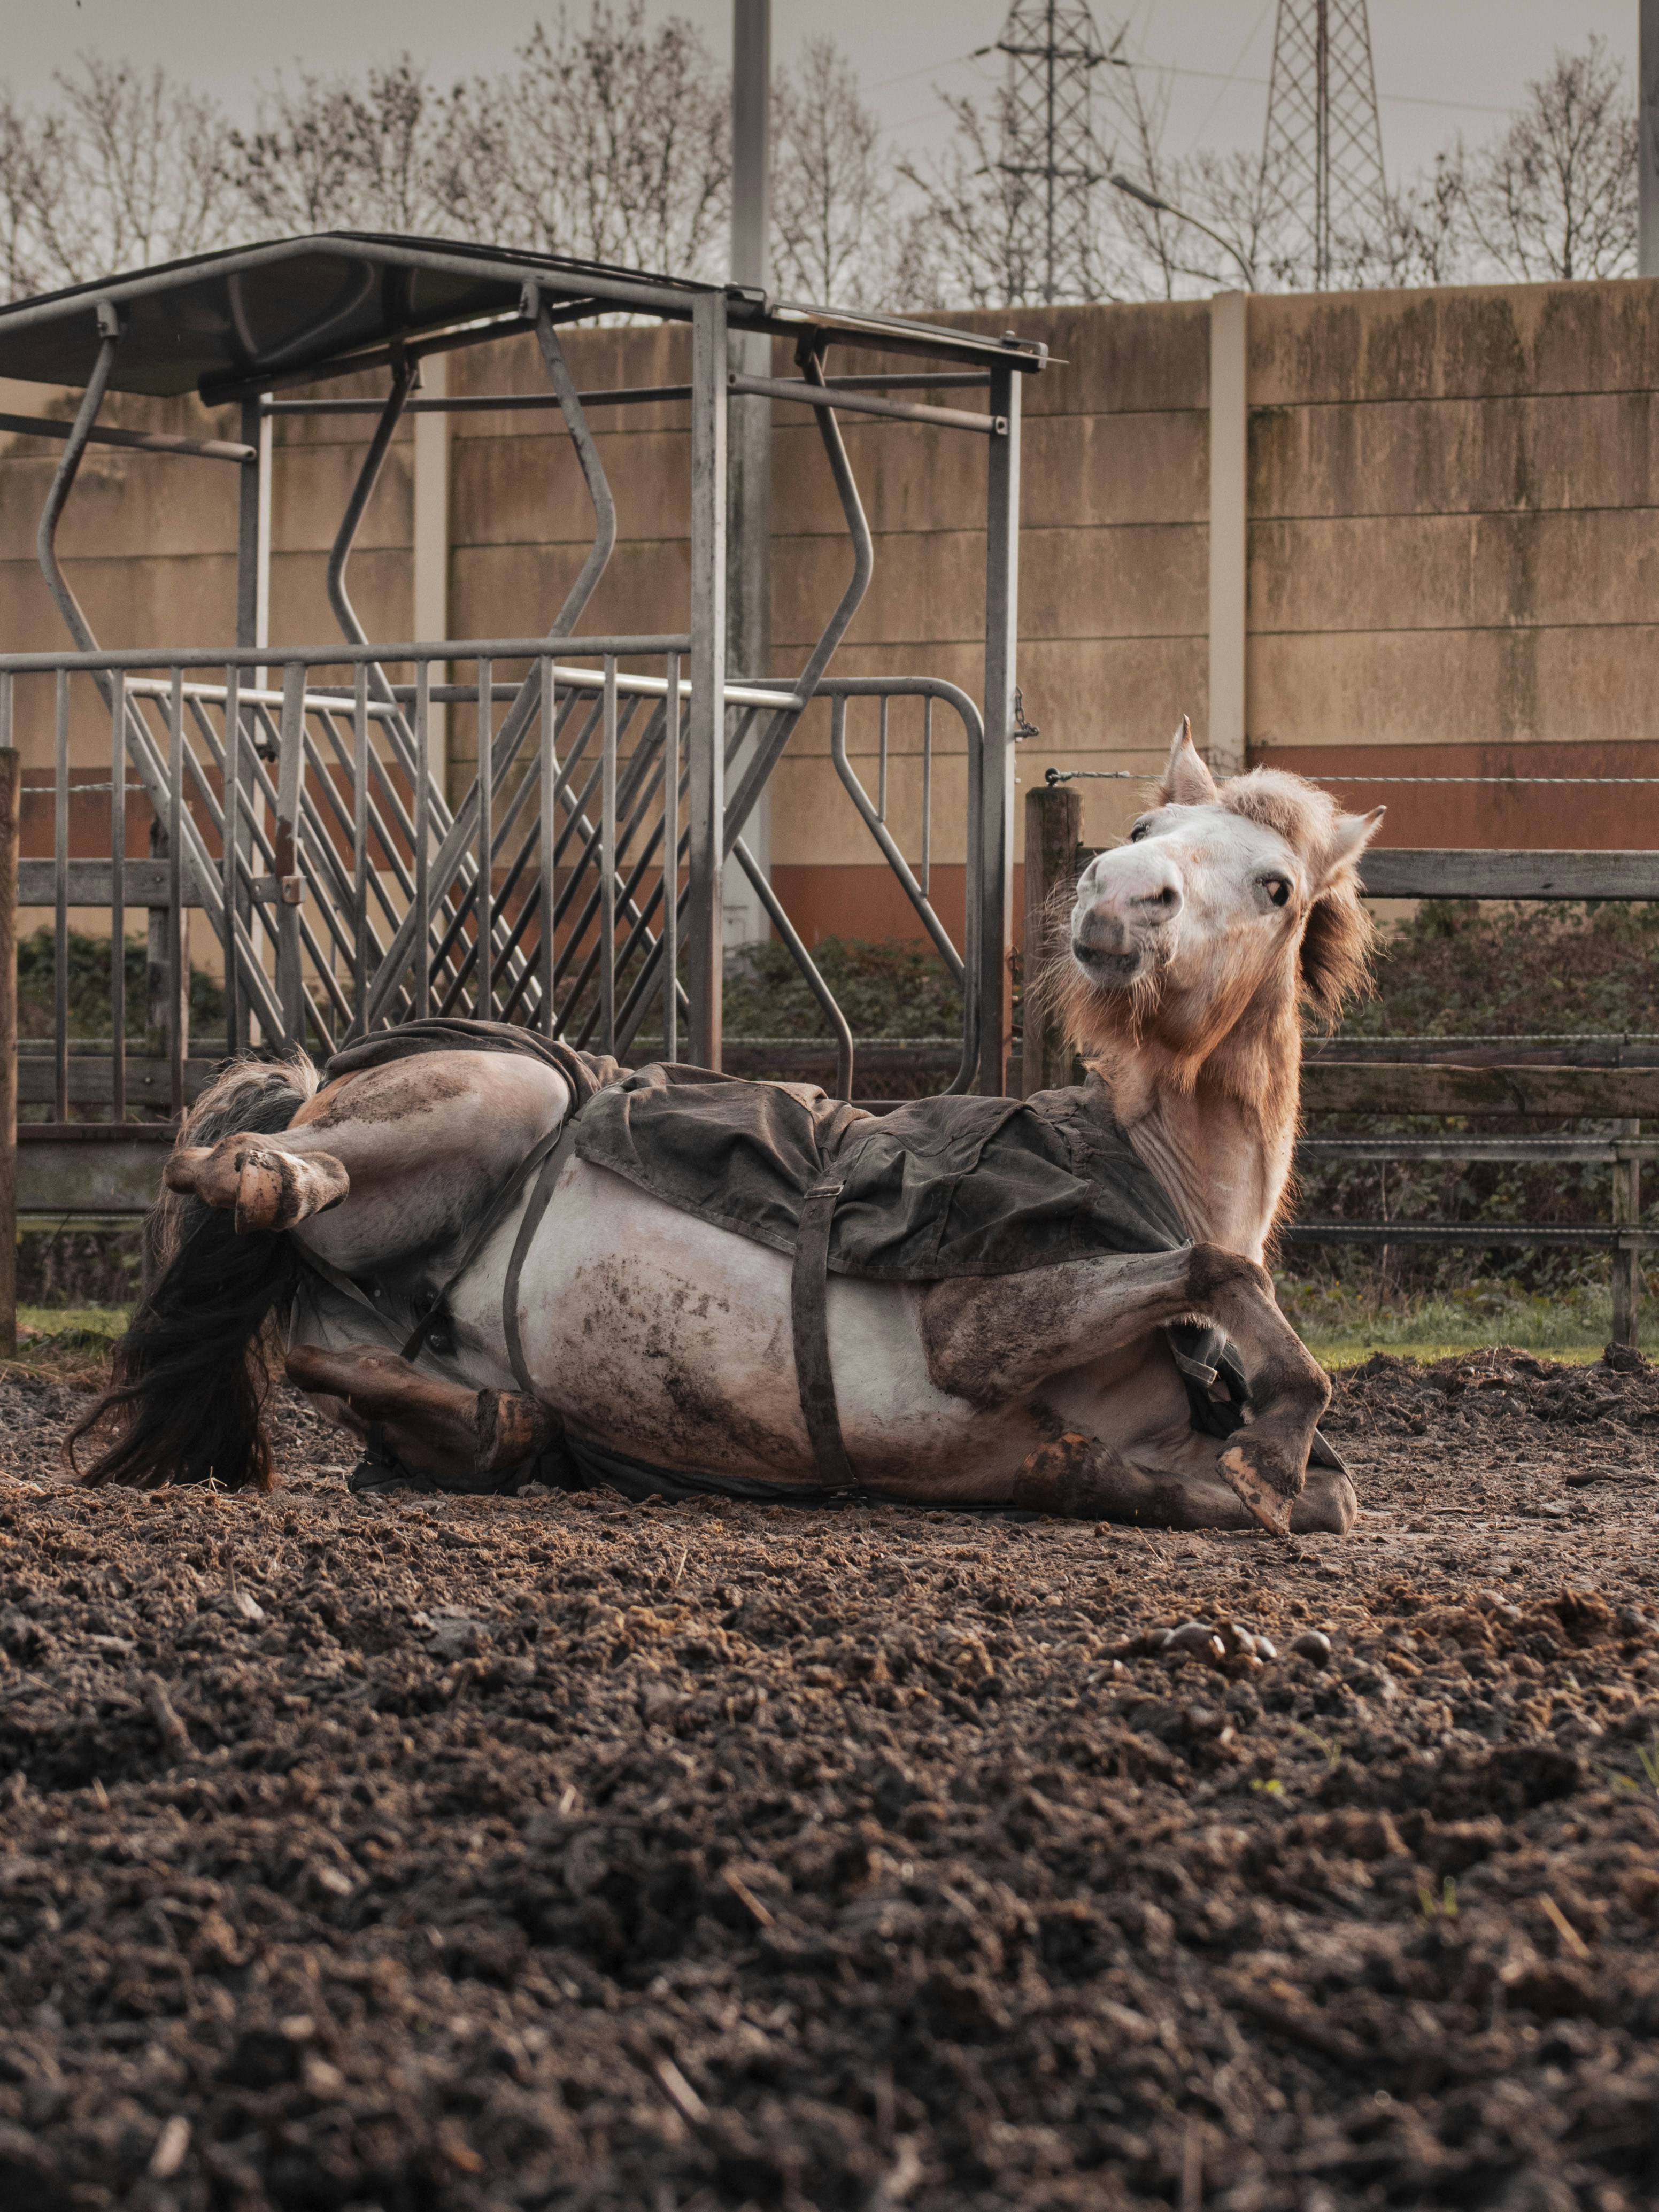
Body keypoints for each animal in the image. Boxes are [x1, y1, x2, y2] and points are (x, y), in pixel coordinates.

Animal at [68, 726, 1382, 1535]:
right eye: (1149, 826)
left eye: (1275, 885)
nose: (1115, 895)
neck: (1136, 1166)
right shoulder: (969, 1322)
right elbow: (1220, 1275)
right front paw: (1265, 1431)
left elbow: (1312, 1494)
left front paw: (1177, 1463)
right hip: (504, 1095)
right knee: (227, 1171)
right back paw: (275, 1175)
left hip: (391, 1304)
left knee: (320, 1348)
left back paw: (507, 1423)